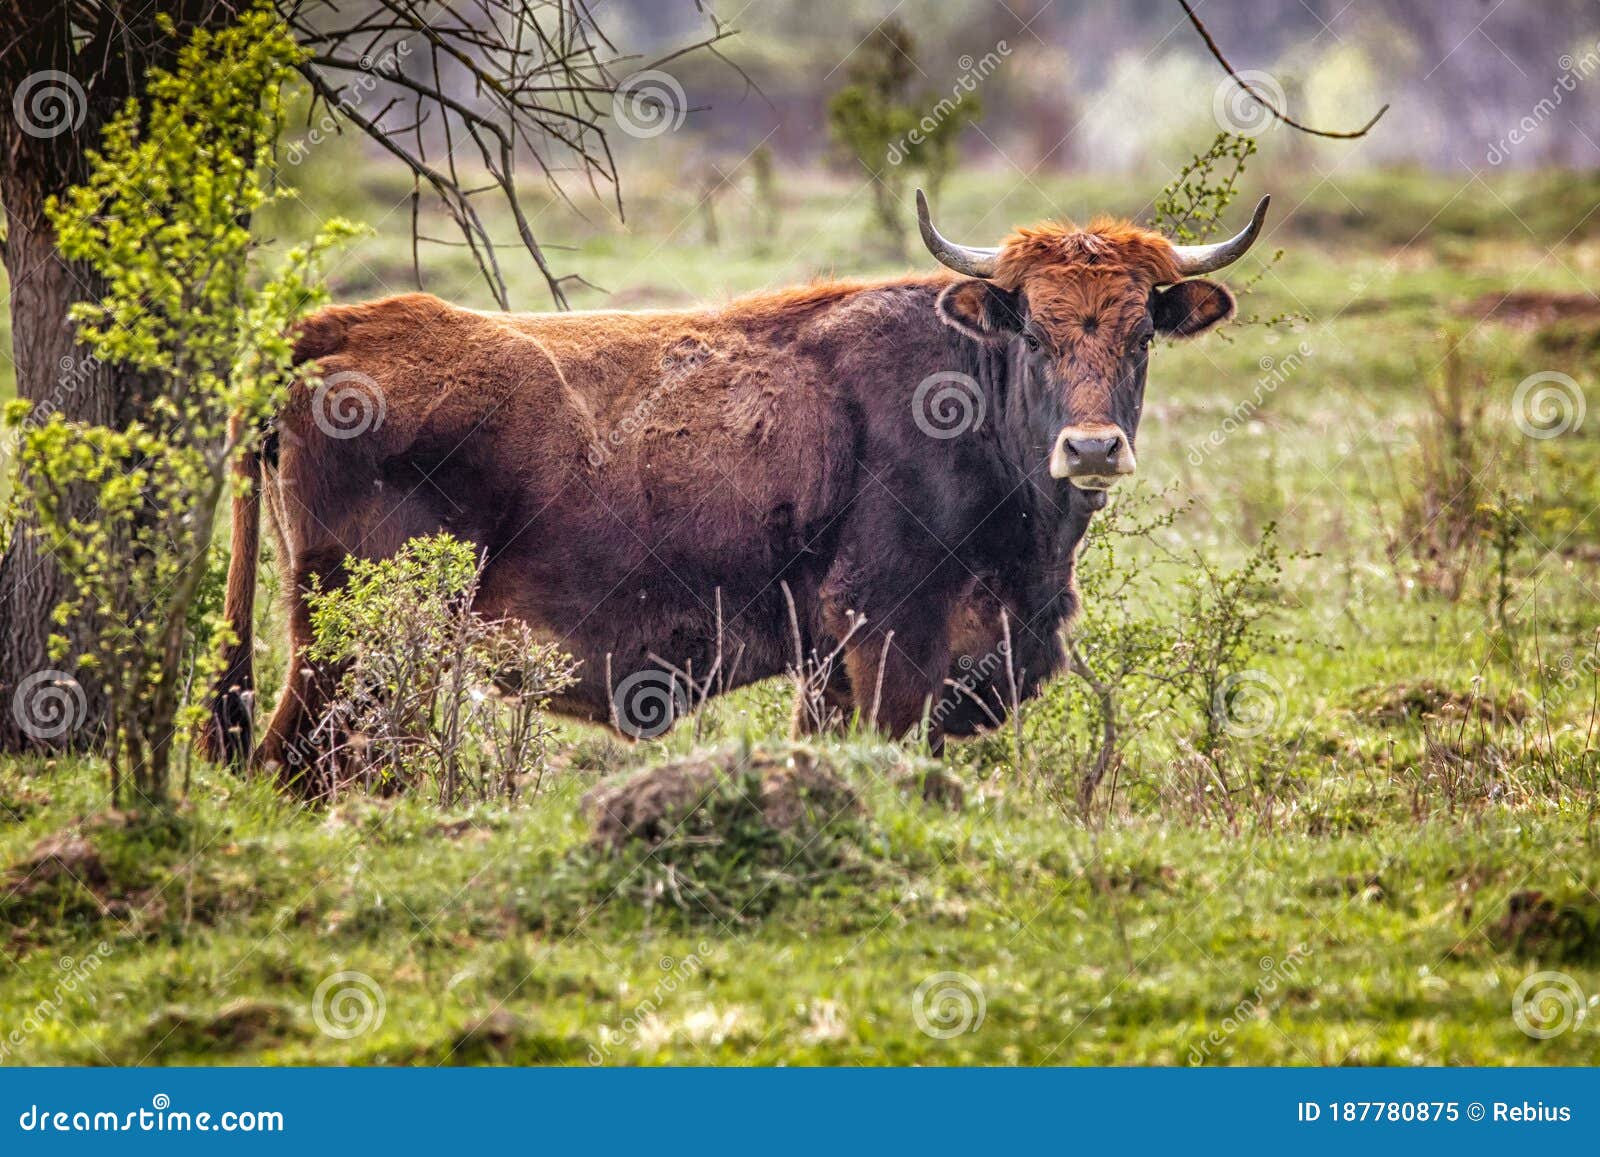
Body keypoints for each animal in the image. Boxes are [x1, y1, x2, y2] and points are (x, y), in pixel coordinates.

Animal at [202, 191, 1269, 792]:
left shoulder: (834, 667)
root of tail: (330, 328)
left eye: (1140, 332)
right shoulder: (892, 642)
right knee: (297, 765)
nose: (1092, 446)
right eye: (1034, 332)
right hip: (352, 649)